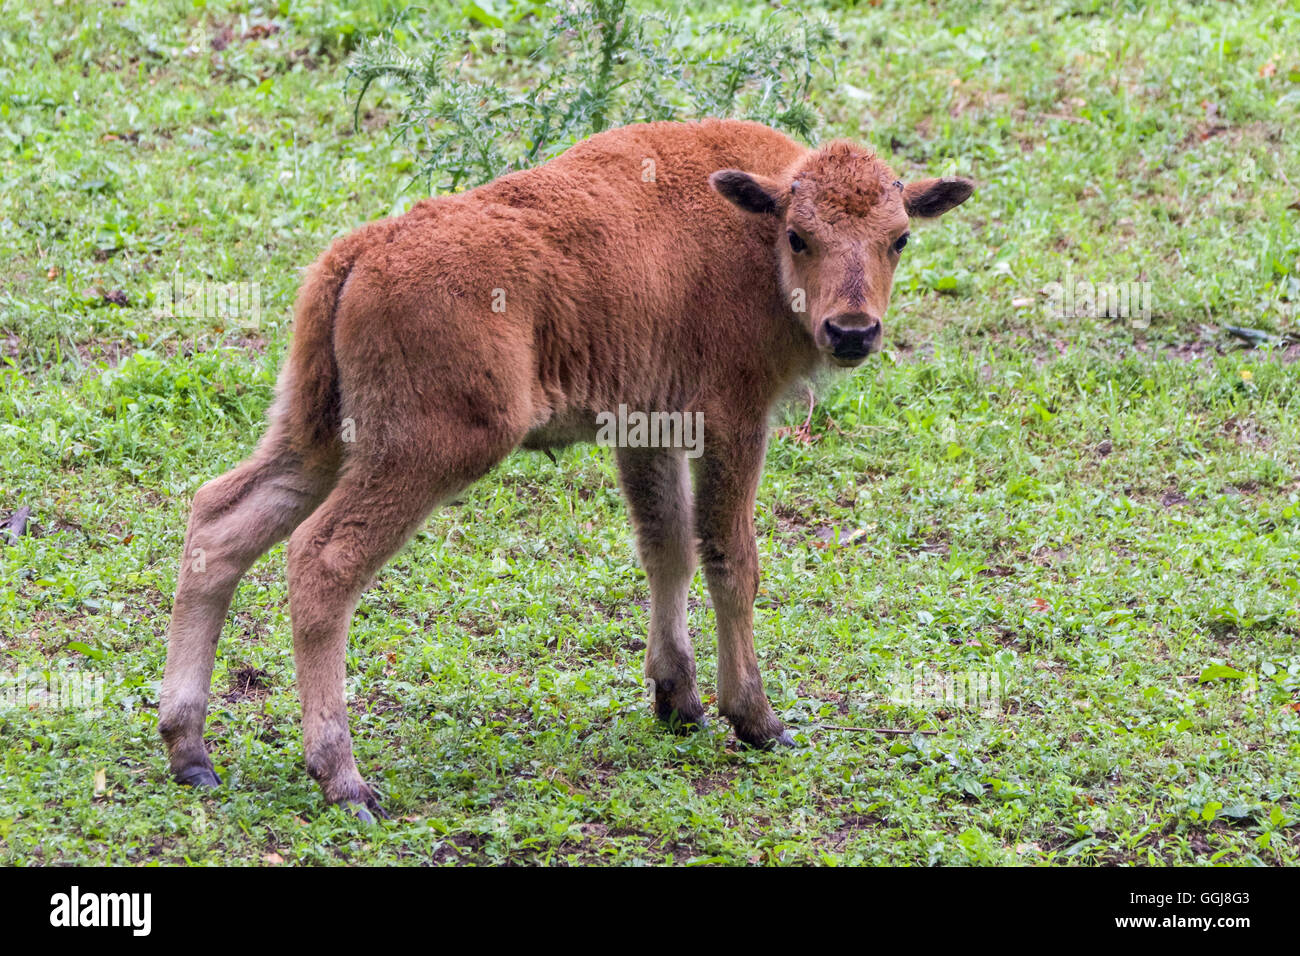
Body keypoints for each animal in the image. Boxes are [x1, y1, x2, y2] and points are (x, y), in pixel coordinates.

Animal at [158, 119, 973, 820]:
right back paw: (344, 780)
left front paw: (678, 702)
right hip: (426, 452)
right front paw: (757, 720)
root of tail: (362, 249)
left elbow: (666, 548)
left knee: (220, 522)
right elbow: (729, 557)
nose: (852, 331)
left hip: (315, 435)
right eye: (801, 237)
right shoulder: (733, 423)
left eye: (899, 239)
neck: (755, 223)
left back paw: (190, 752)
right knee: (322, 561)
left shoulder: (649, 428)